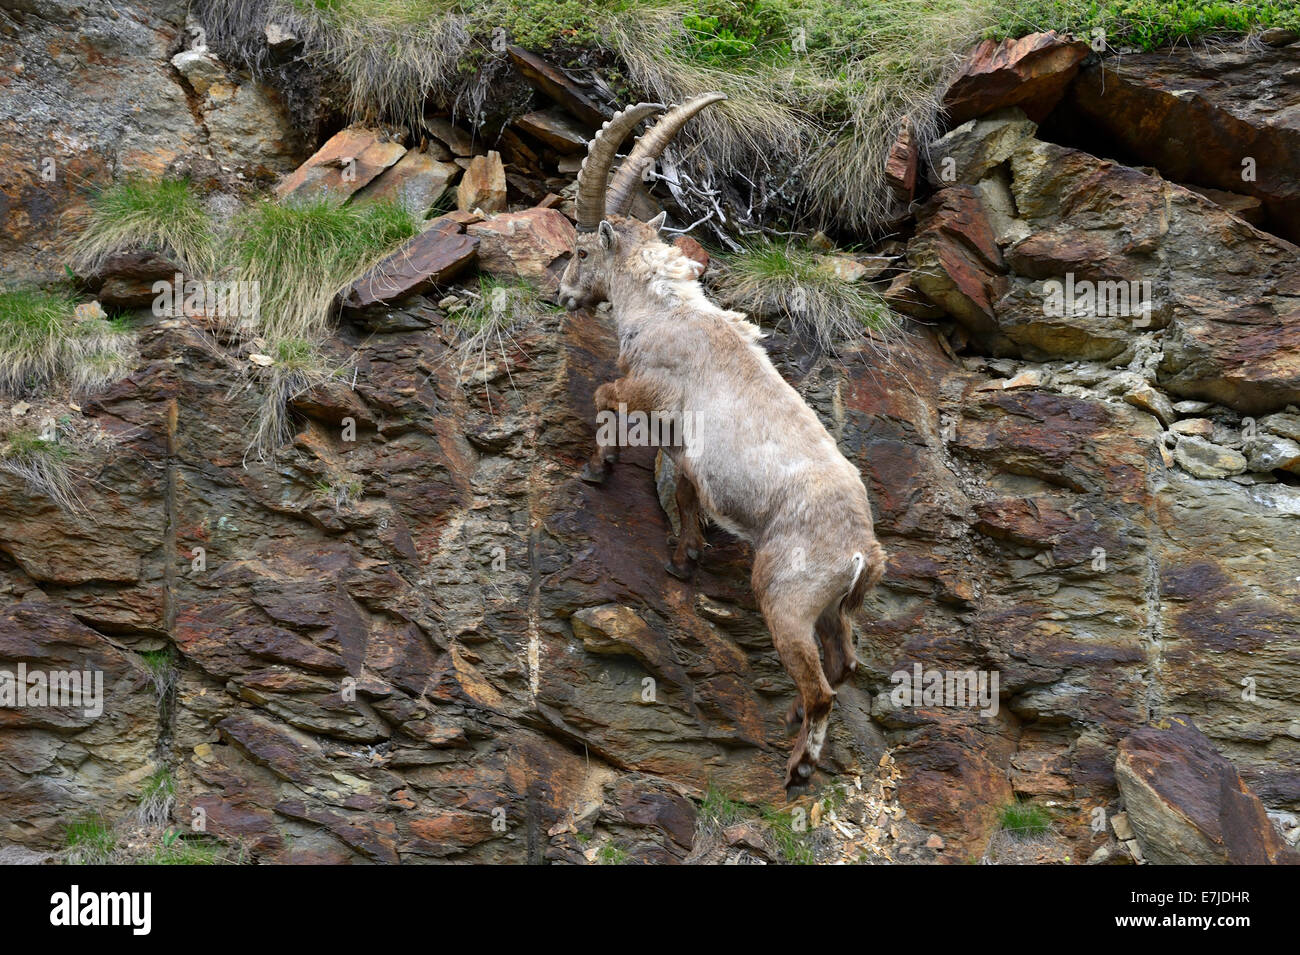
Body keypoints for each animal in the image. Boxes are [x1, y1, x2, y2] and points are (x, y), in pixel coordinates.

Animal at [558, 96, 888, 789]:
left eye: (580, 248)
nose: (564, 295)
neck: (665, 311)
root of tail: (859, 553)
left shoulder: (649, 393)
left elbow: (603, 398)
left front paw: (598, 468)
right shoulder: (686, 452)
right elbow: (685, 497)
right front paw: (685, 559)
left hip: (786, 601)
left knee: (822, 687)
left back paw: (798, 765)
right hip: (835, 612)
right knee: (843, 664)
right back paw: (791, 720)